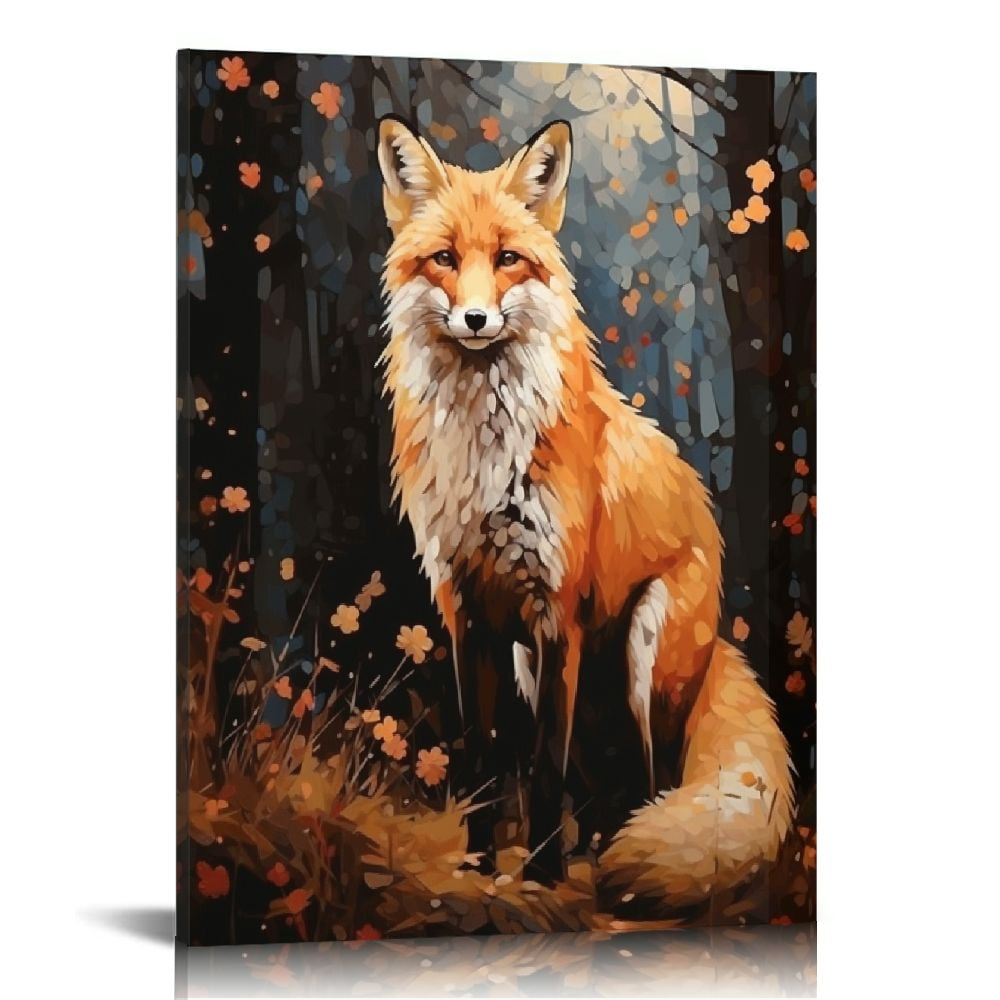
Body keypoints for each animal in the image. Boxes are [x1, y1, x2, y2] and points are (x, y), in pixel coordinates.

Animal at [377, 114, 794, 907]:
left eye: (508, 258)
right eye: (444, 258)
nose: (474, 317)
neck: (486, 458)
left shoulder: (555, 614)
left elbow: (542, 766)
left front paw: (540, 878)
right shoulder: (467, 615)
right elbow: (482, 759)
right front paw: (478, 867)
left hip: (643, 667)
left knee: (653, 782)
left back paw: (614, 879)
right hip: (557, 680)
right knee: (608, 791)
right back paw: (596, 856)